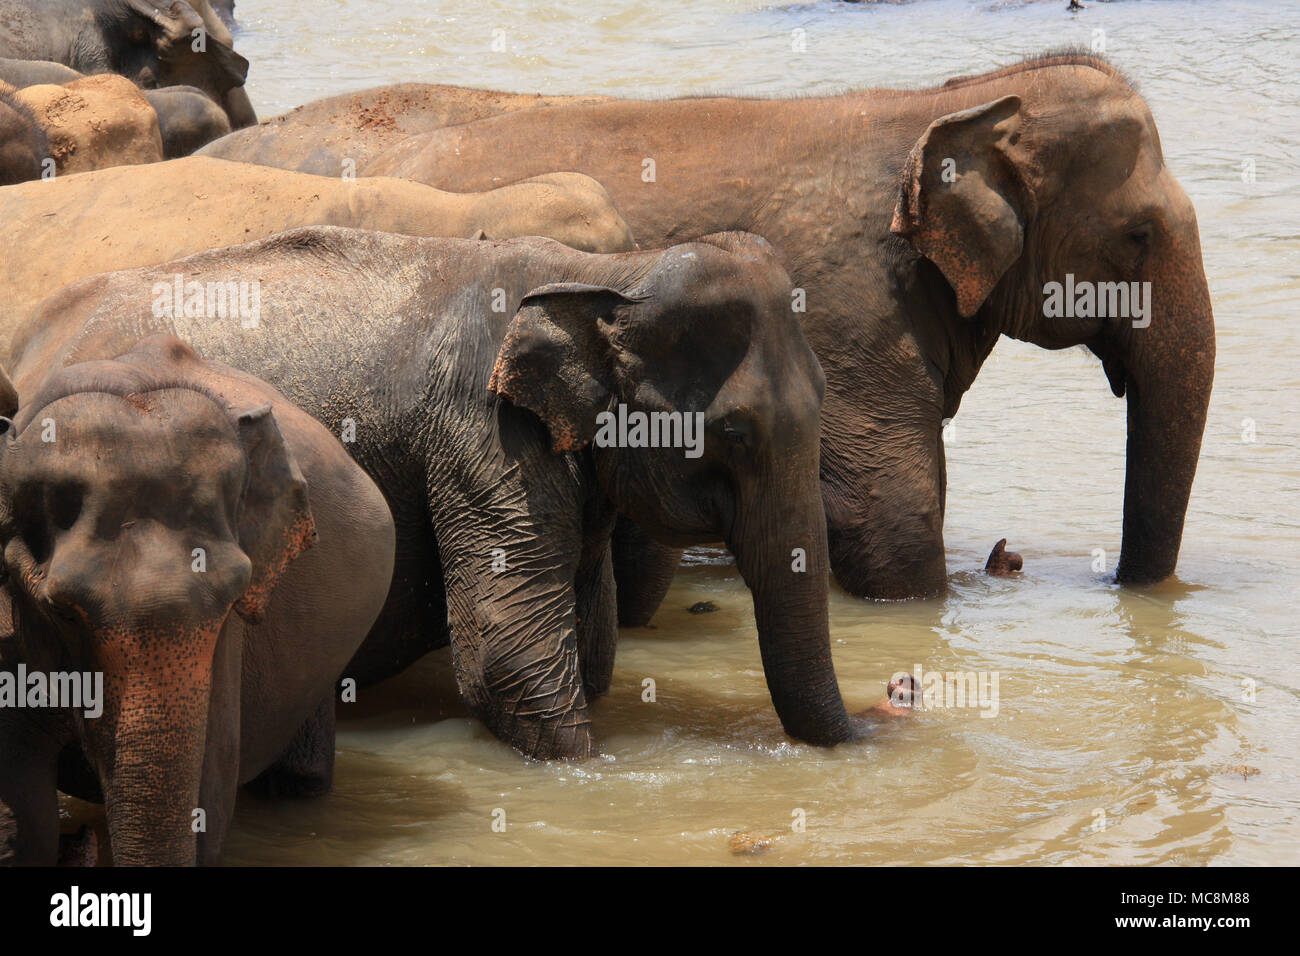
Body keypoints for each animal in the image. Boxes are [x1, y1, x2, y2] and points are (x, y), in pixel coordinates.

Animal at [0, 334, 396, 865]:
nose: (82, 838)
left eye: (233, 599)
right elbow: (24, 824)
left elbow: (212, 790)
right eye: (62, 611)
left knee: (298, 779)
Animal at [12, 225, 872, 760]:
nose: (875, 728)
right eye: (735, 434)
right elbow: (505, 656)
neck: (608, 272)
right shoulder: (480, 434)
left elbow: (590, 648)